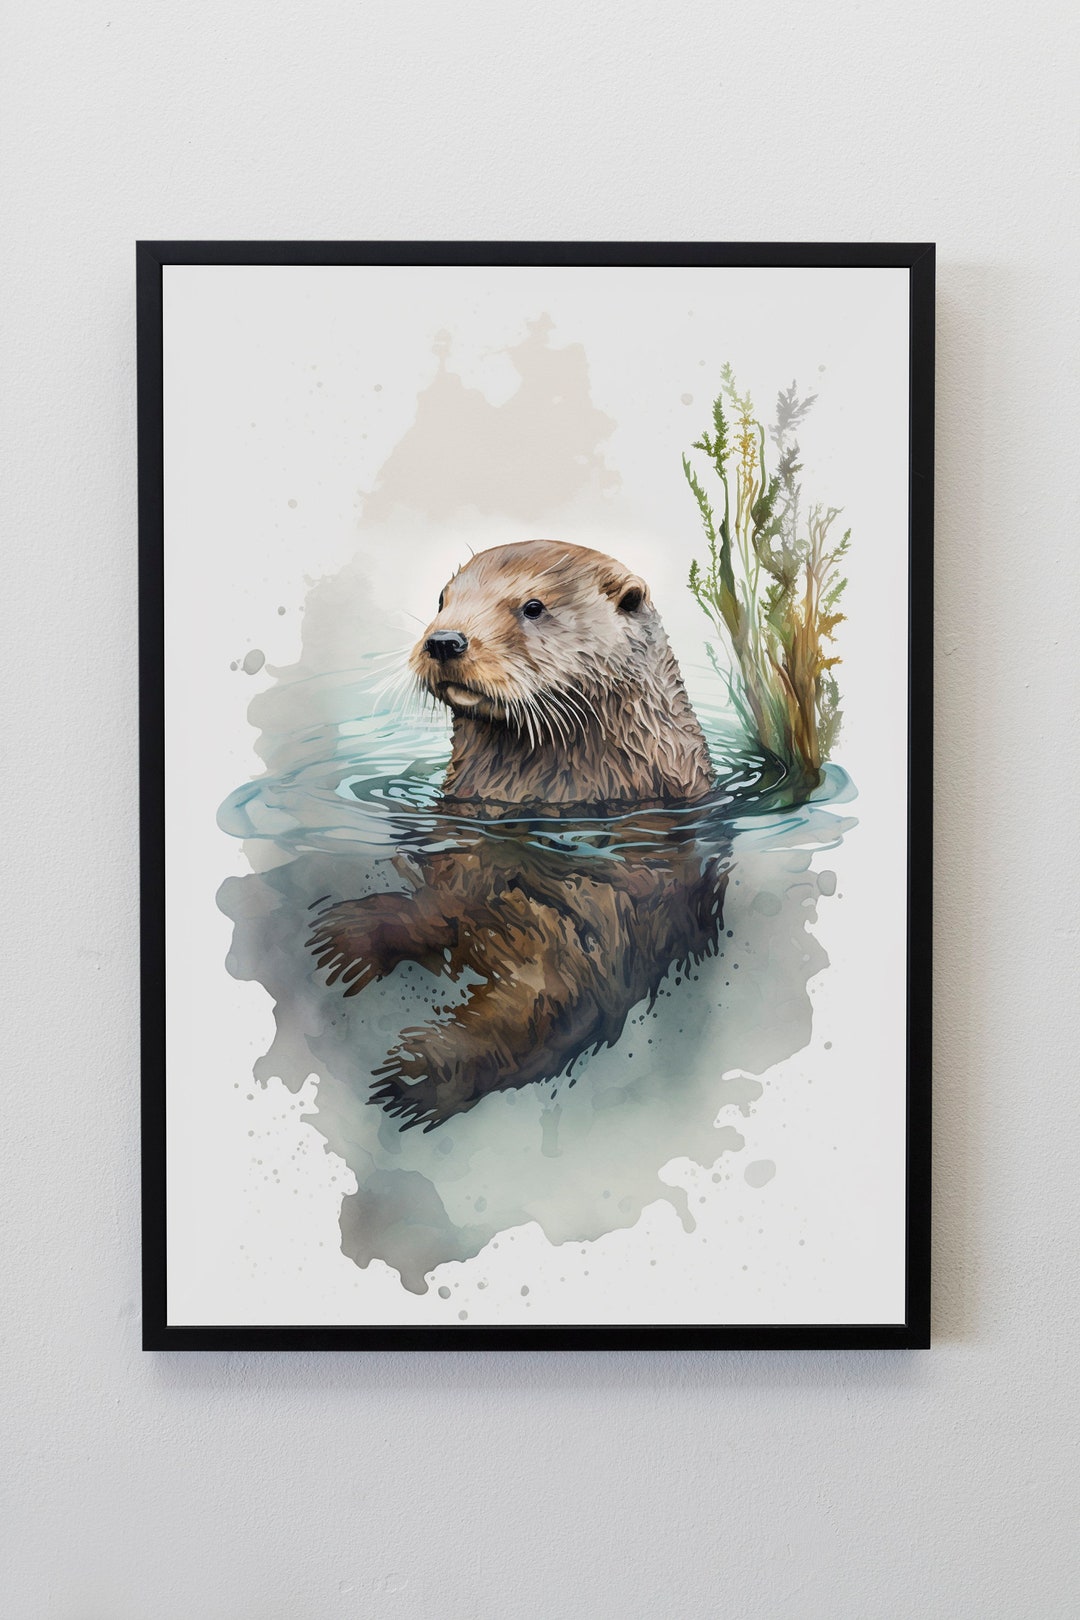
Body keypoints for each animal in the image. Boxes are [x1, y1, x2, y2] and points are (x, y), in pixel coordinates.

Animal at [309, 540, 727, 1130]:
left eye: (532, 607)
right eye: (443, 599)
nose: (444, 639)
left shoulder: (606, 926)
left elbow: (548, 1007)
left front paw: (429, 1069)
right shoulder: (458, 857)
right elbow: (435, 907)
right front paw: (353, 934)